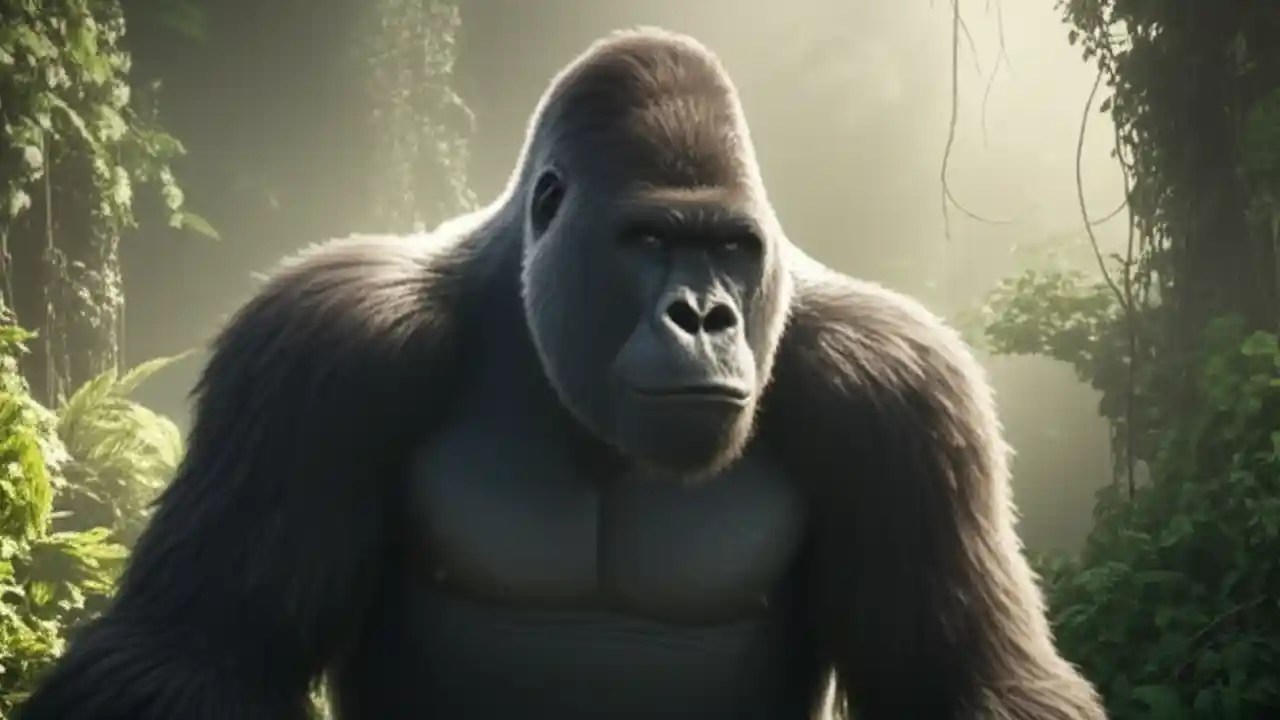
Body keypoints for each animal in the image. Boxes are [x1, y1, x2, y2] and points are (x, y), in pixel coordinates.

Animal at [19, 27, 1106, 720]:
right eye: (651, 240)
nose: (704, 316)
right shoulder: (318, 346)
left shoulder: (899, 388)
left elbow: (964, 687)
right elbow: (193, 659)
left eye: (732, 250)